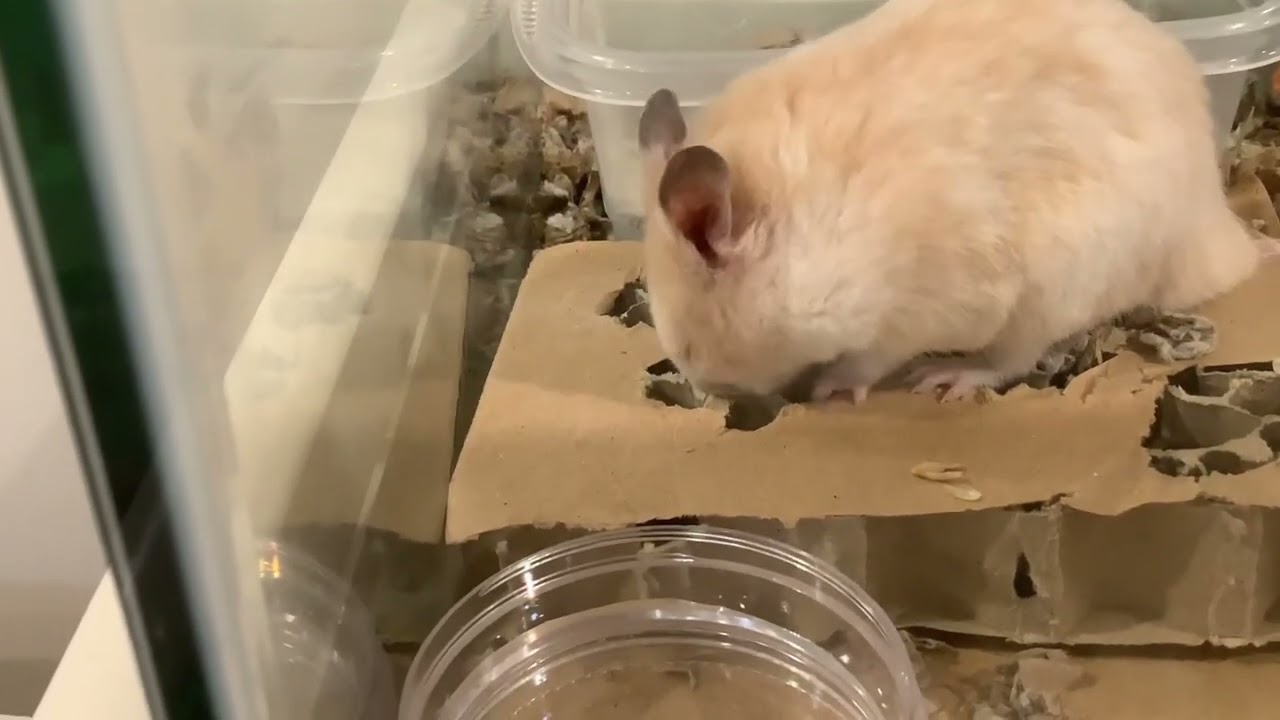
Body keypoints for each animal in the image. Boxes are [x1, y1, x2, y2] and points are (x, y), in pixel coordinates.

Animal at [637, 0, 1272, 404]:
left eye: (688, 344)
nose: (709, 391)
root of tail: (1220, 231)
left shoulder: (919, 309)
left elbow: (870, 359)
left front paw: (831, 387)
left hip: (1057, 288)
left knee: (1013, 359)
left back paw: (948, 377)